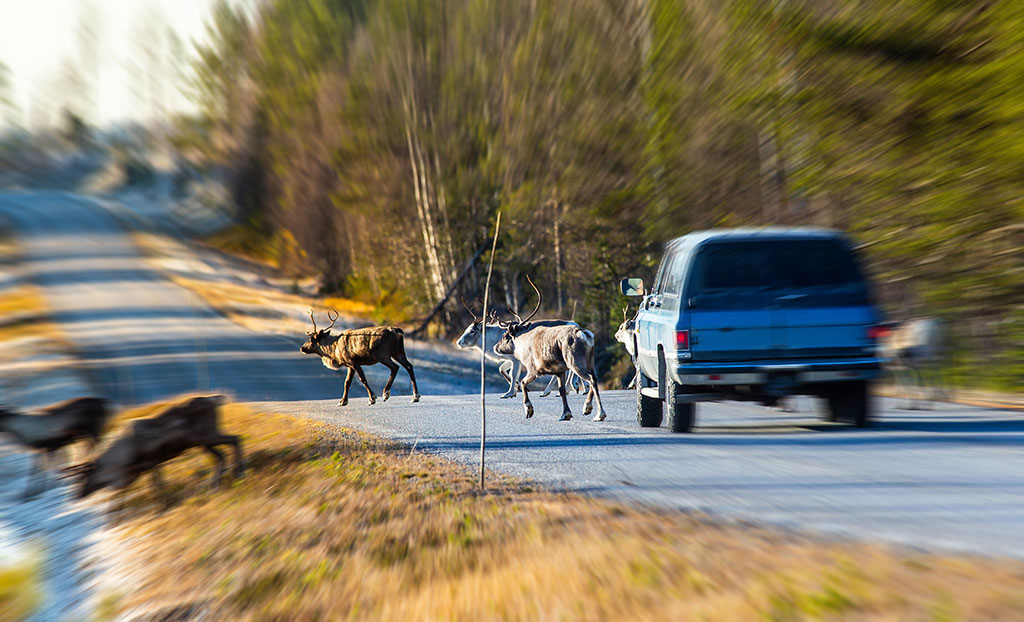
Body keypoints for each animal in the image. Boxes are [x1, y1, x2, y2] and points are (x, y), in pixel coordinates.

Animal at [71, 395, 244, 499]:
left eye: (84, 477)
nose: (77, 495)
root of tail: (214, 400)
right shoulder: (146, 467)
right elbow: (157, 484)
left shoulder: (150, 462)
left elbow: (157, 485)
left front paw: (162, 506)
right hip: (202, 443)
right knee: (221, 455)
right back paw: (216, 484)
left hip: (208, 435)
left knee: (235, 439)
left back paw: (238, 473)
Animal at [494, 277, 607, 422]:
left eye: (505, 335)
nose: (496, 347)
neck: (522, 341)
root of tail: (584, 333)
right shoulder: (559, 371)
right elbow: (561, 390)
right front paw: (566, 414)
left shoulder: (534, 369)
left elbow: (524, 383)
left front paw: (528, 409)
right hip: (590, 362)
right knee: (594, 378)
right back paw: (587, 407)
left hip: (575, 362)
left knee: (591, 379)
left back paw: (599, 413)